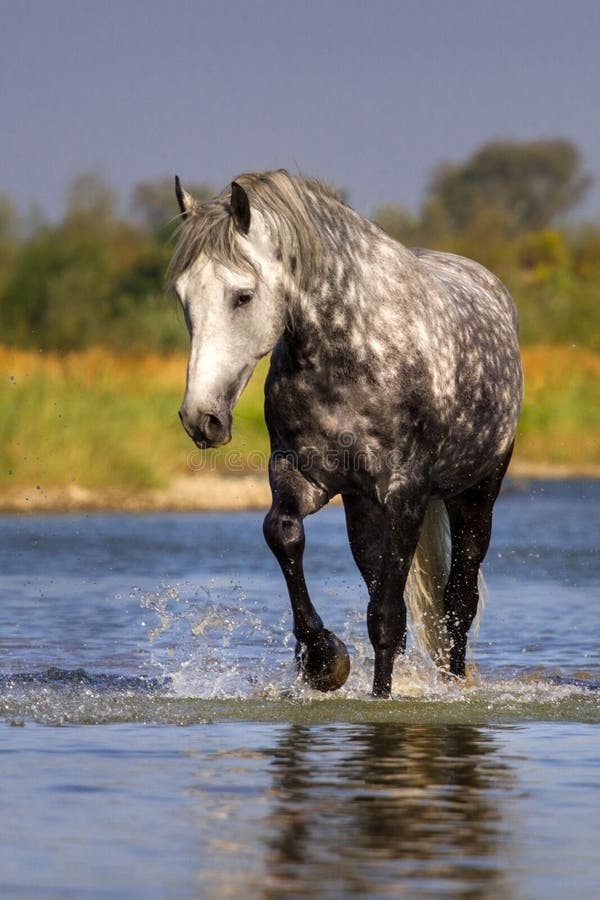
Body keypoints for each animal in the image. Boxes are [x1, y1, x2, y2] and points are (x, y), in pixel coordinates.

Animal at [169, 170, 523, 698]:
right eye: (183, 296)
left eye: (243, 296)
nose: (201, 418)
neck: (350, 355)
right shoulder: (300, 475)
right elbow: (283, 535)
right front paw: (323, 660)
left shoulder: (406, 495)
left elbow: (388, 616)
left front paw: (378, 697)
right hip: (362, 506)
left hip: (476, 493)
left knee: (459, 597)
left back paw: (453, 684)